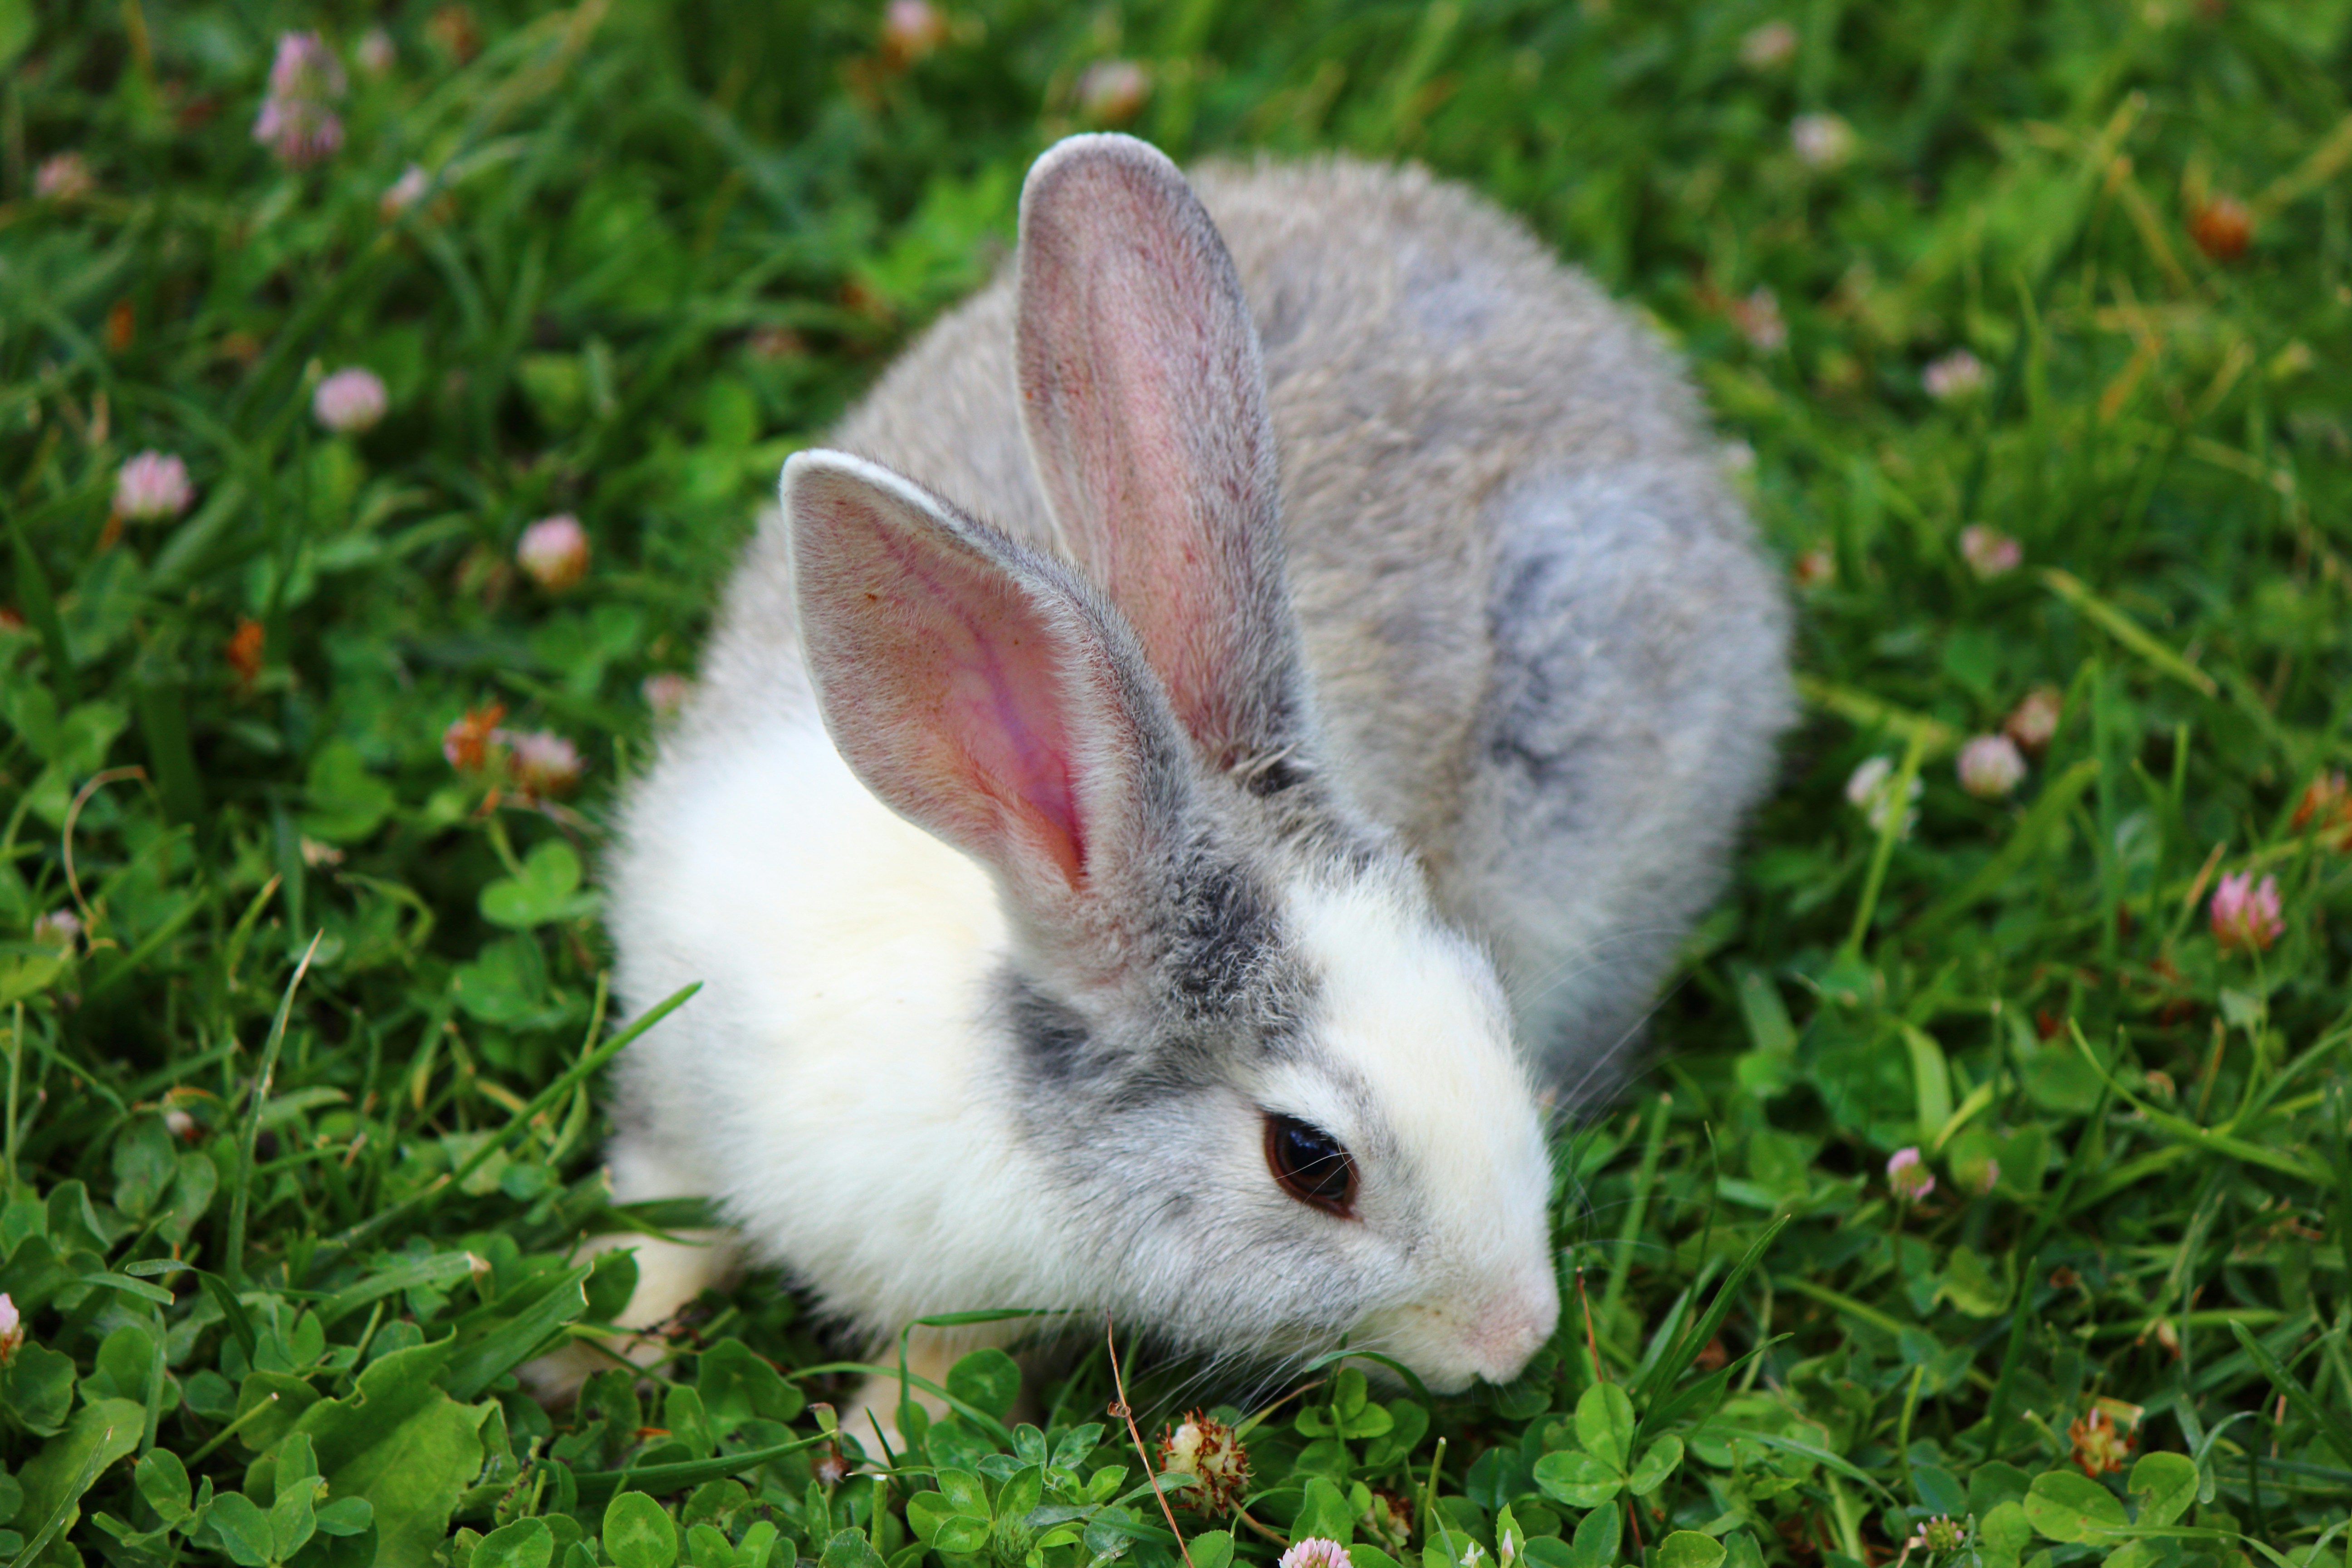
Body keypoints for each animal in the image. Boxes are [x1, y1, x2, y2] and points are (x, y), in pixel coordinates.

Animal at [563, 134, 1790, 1428]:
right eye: (1310, 1161)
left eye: (1488, 1009)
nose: (1514, 1337)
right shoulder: (677, 1085)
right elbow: (660, 1222)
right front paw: (591, 1347)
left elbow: (936, 1366)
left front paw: (879, 1441)